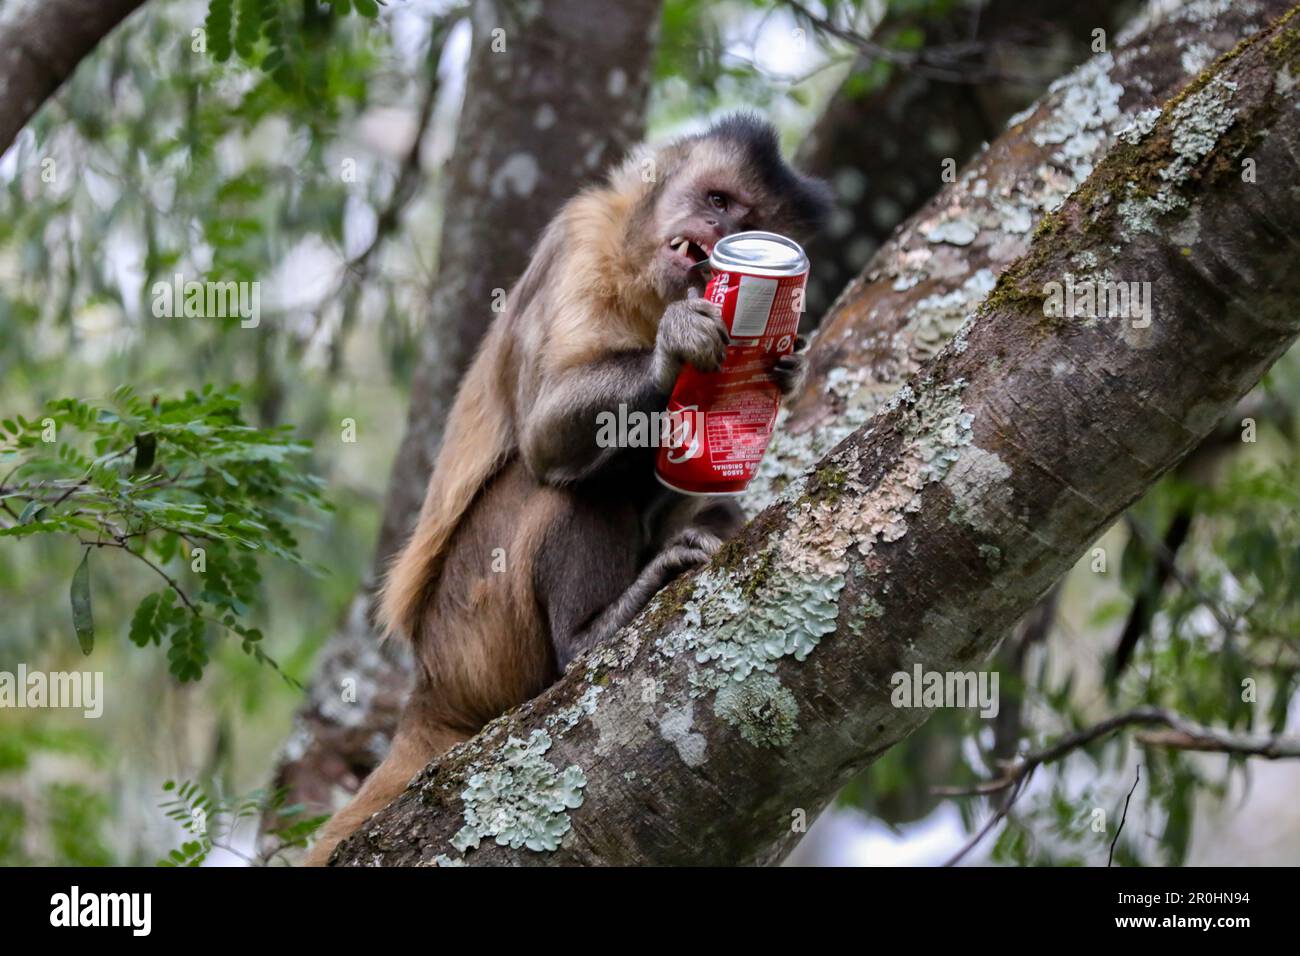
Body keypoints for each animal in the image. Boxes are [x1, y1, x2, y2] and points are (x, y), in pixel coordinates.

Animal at [305, 114, 831, 865]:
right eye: (718, 200)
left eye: (751, 219)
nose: (720, 229)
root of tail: (425, 689)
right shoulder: (579, 236)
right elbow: (547, 432)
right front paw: (675, 344)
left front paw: (784, 369)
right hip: (474, 633)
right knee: (553, 483)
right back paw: (589, 637)